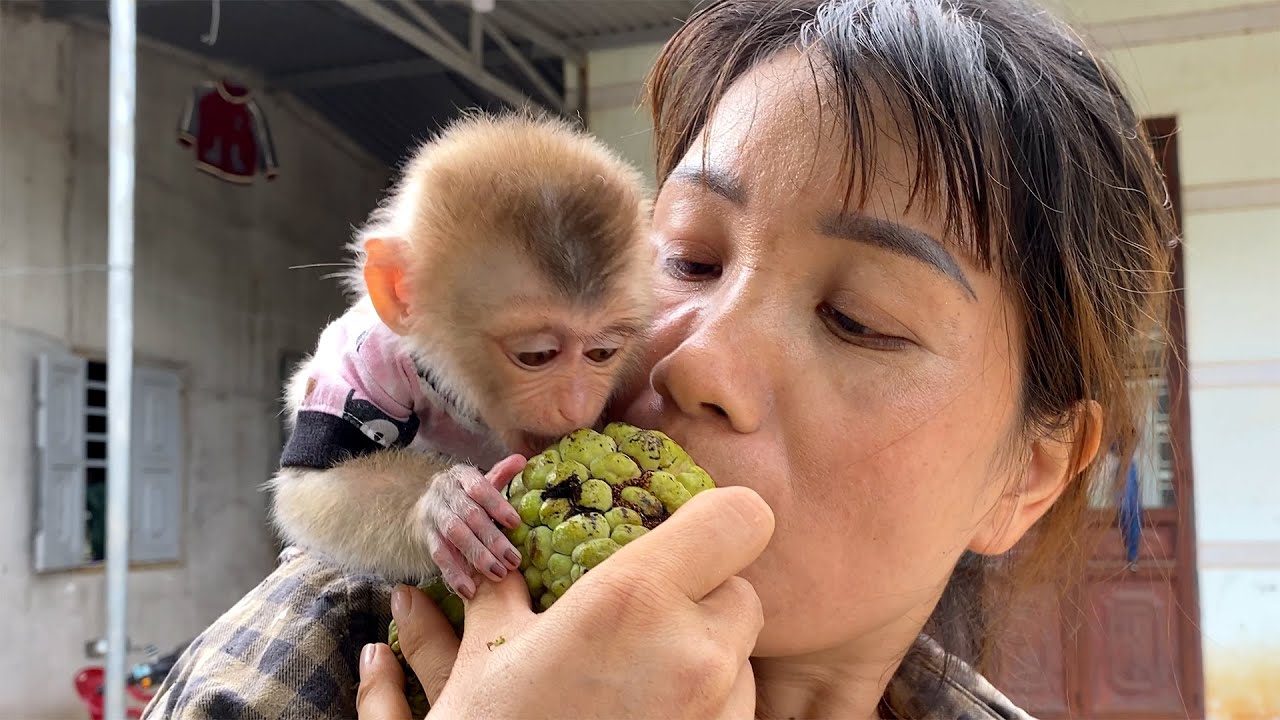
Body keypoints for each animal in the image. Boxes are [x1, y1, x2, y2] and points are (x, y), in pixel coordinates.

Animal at [266, 111, 655, 600]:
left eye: (602, 352)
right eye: (536, 356)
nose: (575, 405)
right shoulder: (367, 358)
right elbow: (313, 486)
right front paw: (444, 508)